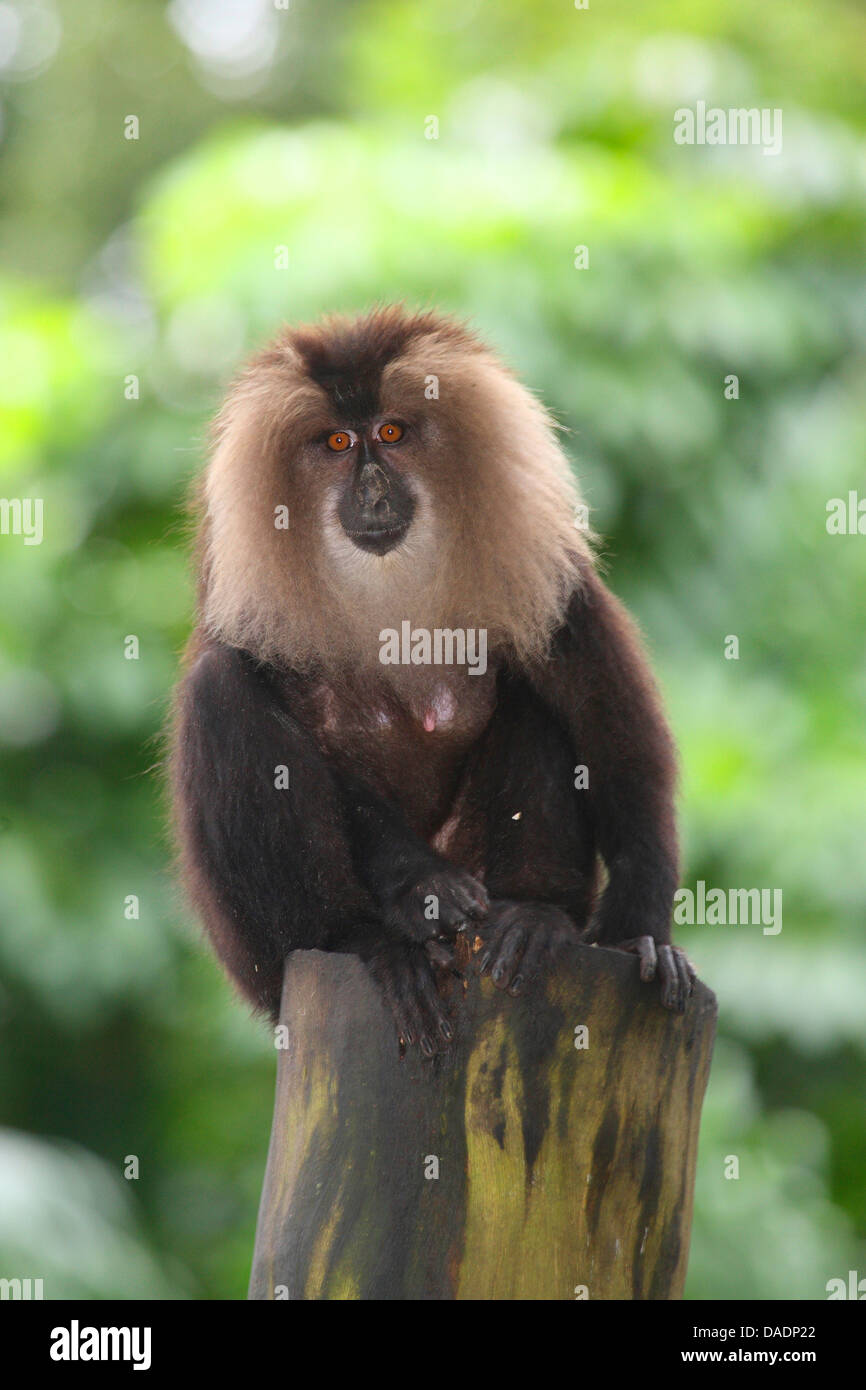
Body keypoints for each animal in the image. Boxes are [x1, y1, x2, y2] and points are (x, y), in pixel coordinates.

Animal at [169, 305, 694, 1057]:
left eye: (390, 433)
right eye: (336, 443)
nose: (371, 489)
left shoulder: (553, 582)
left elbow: (617, 743)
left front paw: (639, 933)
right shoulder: (259, 610)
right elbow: (320, 759)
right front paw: (423, 890)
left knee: (537, 711)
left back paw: (537, 918)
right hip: (260, 960)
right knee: (220, 692)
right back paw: (369, 944)